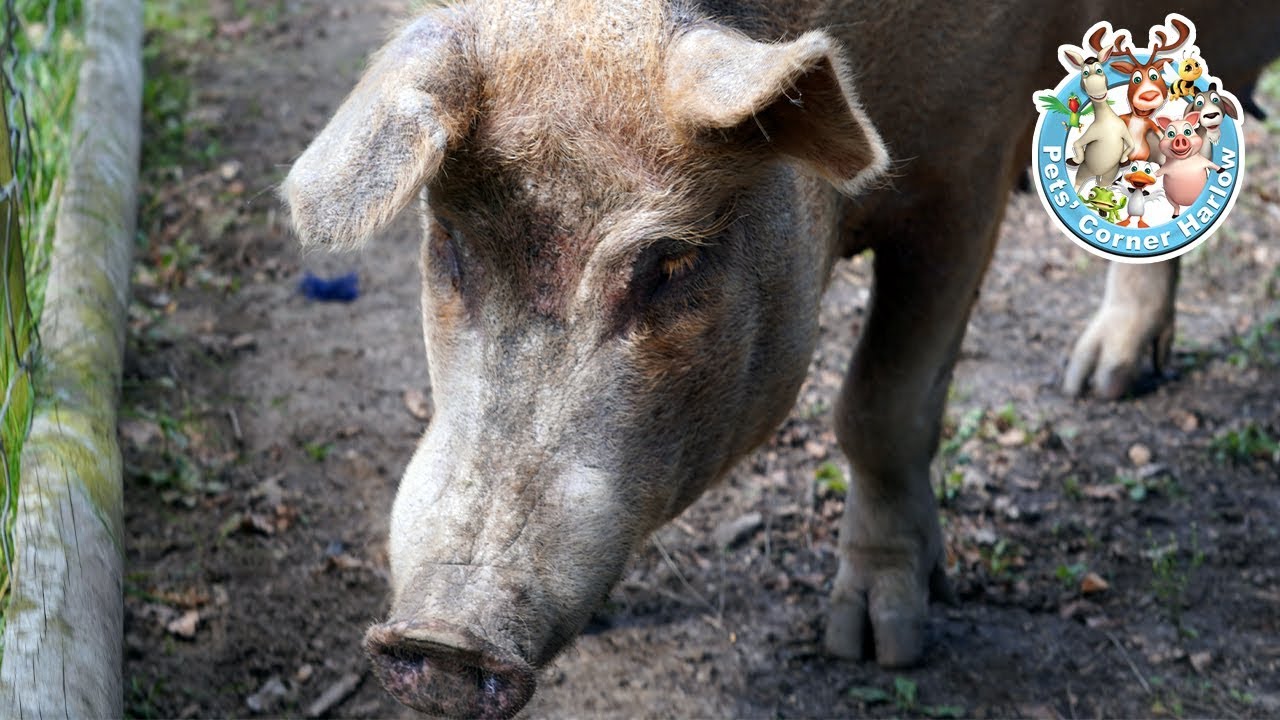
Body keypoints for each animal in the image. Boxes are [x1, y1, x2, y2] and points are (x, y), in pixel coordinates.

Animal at [284, 1, 1280, 716]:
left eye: (669, 262)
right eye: (449, 240)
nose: (439, 643)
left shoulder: (970, 162)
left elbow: (883, 402)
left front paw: (877, 647)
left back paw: (1091, 384)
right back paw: (1103, 382)